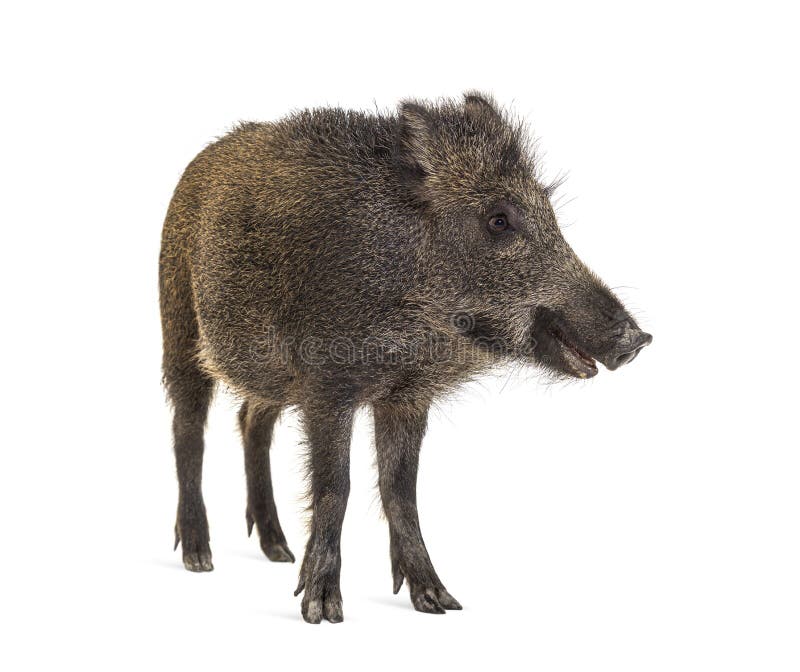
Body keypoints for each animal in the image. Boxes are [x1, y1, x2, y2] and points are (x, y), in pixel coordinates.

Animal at [159, 92, 652, 623]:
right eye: (498, 219)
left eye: (549, 211)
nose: (638, 339)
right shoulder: (327, 387)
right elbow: (336, 486)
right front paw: (322, 610)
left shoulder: (406, 396)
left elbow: (401, 488)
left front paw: (437, 602)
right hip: (177, 326)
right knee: (188, 430)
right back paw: (198, 557)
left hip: (266, 375)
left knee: (251, 419)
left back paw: (277, 551)